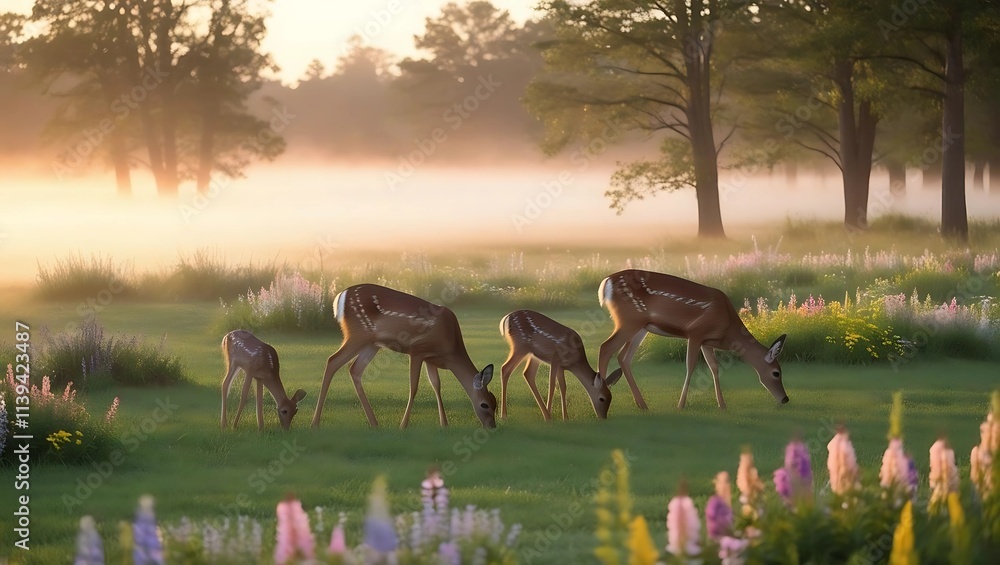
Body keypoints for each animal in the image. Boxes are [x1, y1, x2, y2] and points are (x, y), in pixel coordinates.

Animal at [311, 284, 497, 429]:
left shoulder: (431, 358)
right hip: (358, 334)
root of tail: (340, 297)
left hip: (372, 343)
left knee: (354, 369)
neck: (450, 351)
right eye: (484, 404)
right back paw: (315, 423)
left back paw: (374, 423)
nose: (492, 426)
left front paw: (444, 424)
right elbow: (414, 387)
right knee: (333, 361)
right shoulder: (417, 351)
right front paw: (403, 425)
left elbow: (436, 385)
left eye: (495, 402)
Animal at [597, 270, 789, 410]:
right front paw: (680, 405)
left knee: (623, 357)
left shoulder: (707, 341)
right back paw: (601, 403)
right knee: (606, 347)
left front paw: (722, 404)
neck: (728, 331)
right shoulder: (696, 332)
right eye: (776, 373)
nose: (785, 399)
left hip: (641, 326)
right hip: (629, 320)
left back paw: (642, 405)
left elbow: (714, 367)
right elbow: (691, 366)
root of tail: (606, 282)